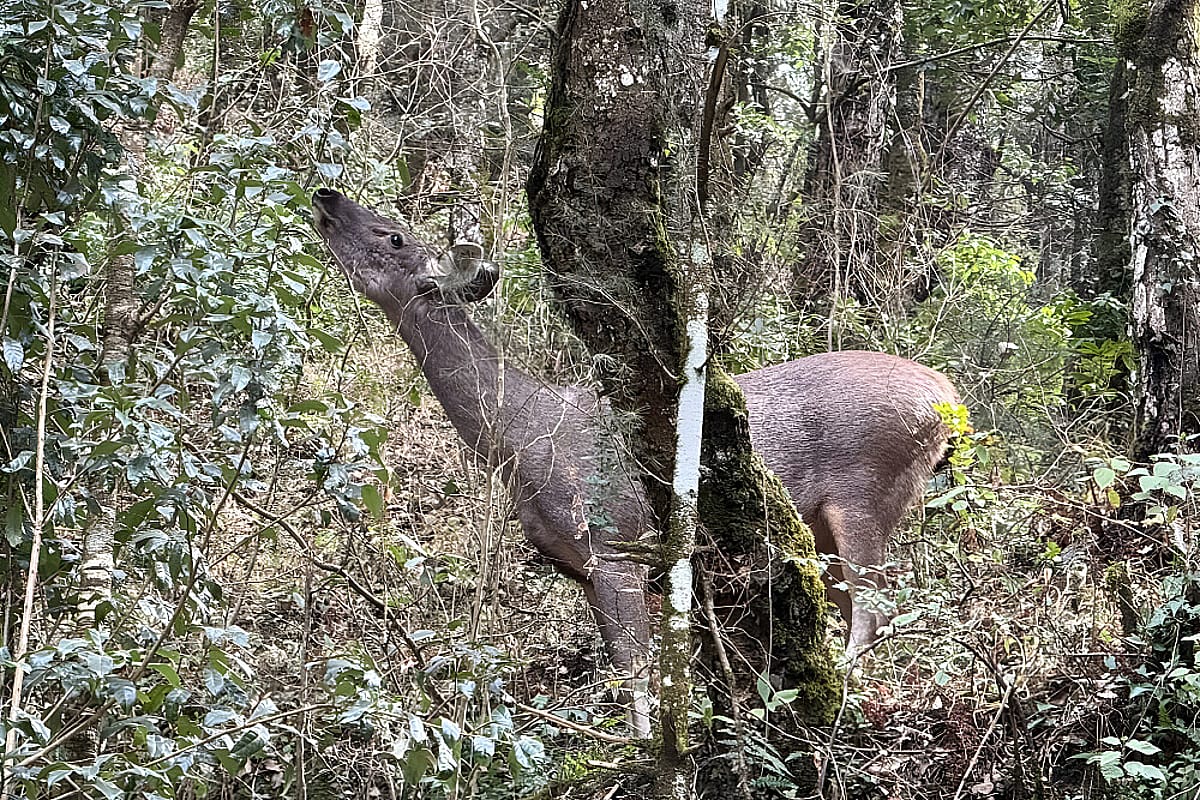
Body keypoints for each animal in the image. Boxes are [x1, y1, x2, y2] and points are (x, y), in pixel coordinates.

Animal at [310, 188, 960, 736]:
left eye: (395, 235)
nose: (325, 196)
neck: (525, 440)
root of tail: (952, 405)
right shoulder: (578, 563)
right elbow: (627, 666)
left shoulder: (619, 542)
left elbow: (634, 666)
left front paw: (644, 745)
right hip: (823, 524)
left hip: (869, 488)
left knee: (875, 606)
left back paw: (843, 696)